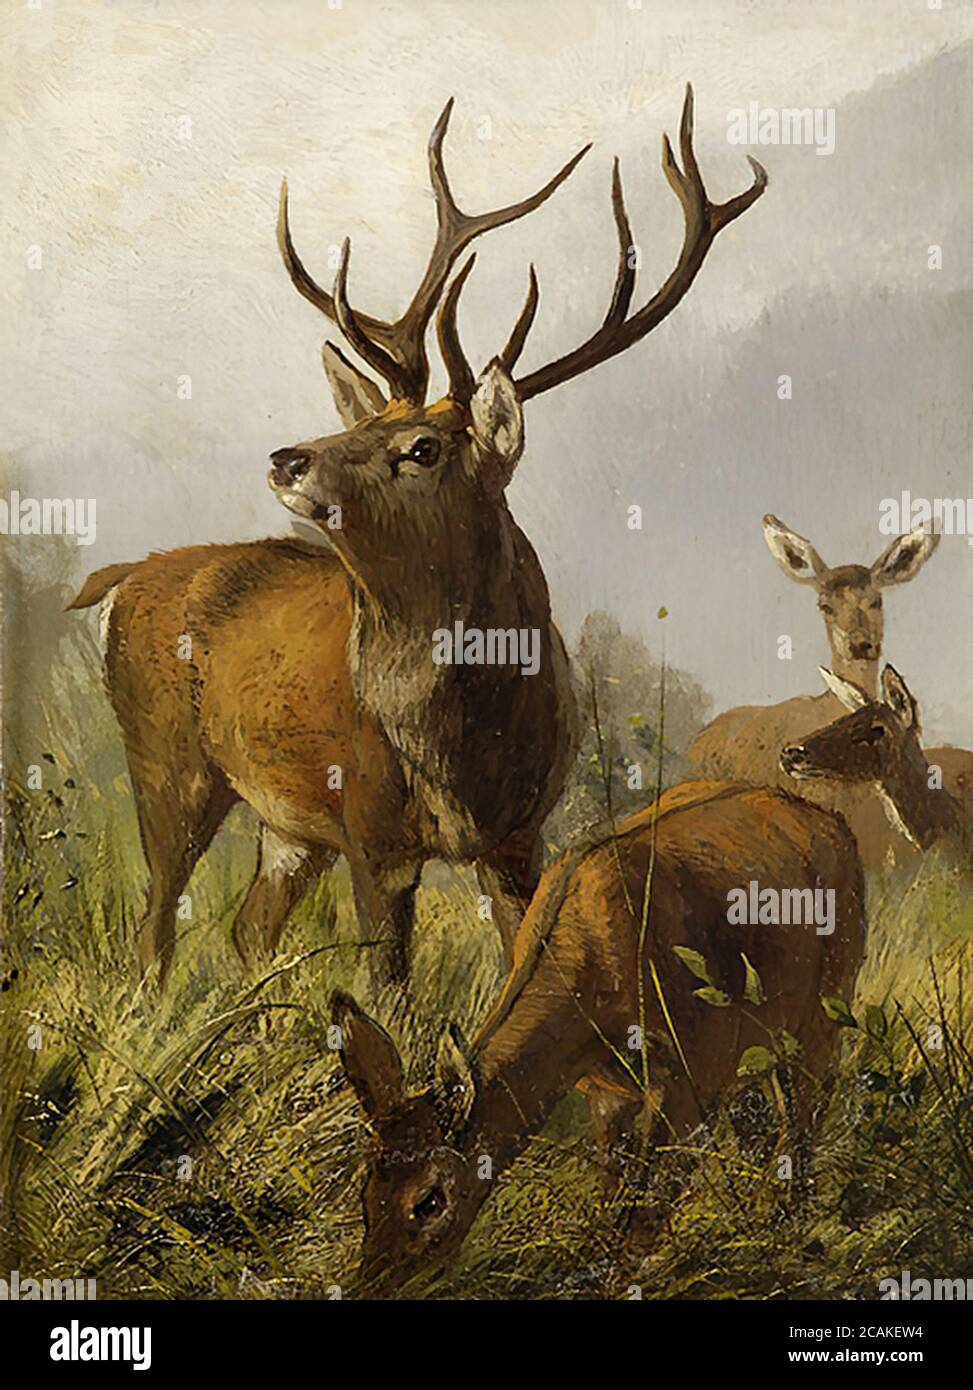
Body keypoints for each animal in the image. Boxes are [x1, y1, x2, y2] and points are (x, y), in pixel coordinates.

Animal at [67, 89, 767, 990]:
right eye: (361, 422)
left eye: (421, 448)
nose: (287, 457)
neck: (461, 749)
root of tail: (125, 576)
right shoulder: (372, 831)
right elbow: (389, 990)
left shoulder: (517, 838)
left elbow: (521, 959)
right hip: (167, 756)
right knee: (155, 927)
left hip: (283, 821)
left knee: (246, 928)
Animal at [333, 776, 865, 1296]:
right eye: (365, 1189)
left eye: (430, 1200)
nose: (372, 1286)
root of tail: (835, 825)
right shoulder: (608, 1095)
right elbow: (614, 1195)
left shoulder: (692, 1078)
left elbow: (645, 1207)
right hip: (755, 1049)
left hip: (826, 1008)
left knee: (804, 1120)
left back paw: (788, 1229)